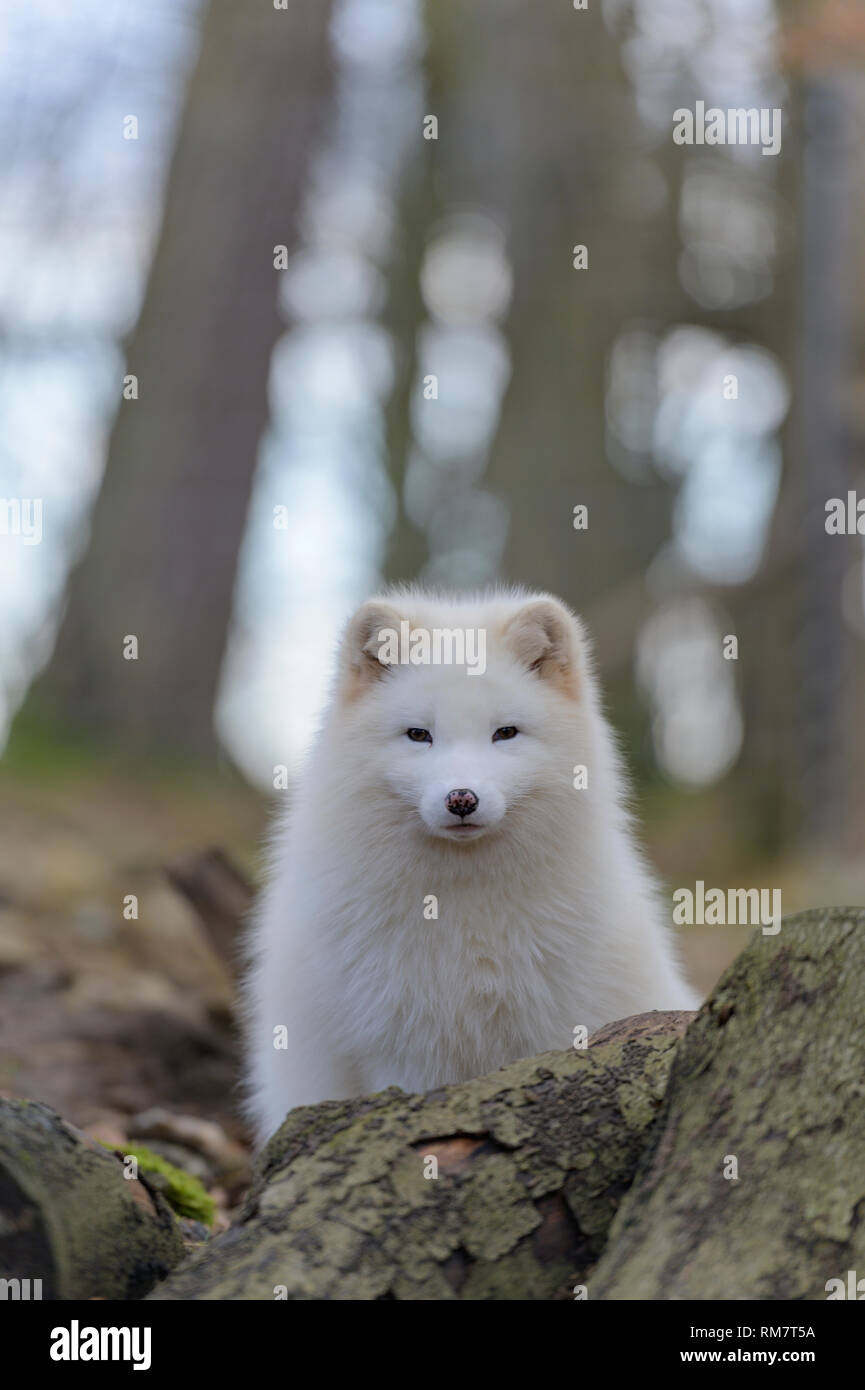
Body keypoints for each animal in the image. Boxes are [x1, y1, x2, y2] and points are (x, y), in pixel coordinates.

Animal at [243, 588, 698, 1145]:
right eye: (419, 734)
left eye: (505, 733)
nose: (462, 799)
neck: (456, 910)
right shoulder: (396, 1045)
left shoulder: (546, 1030)